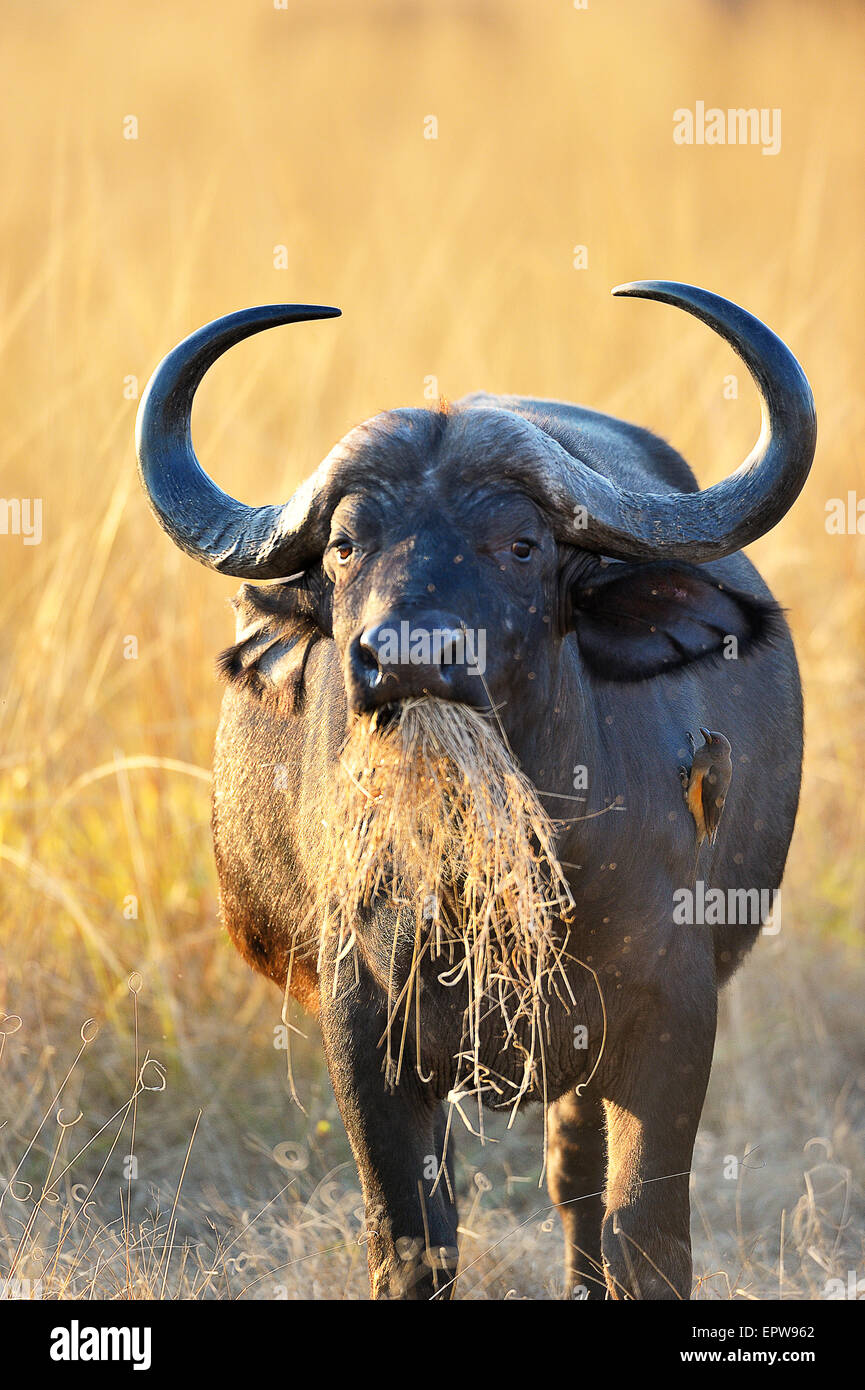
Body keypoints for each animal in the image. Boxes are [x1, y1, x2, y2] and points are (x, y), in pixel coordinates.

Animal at [136, 282, 815, 1299]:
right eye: (345, 545)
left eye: (521, 543)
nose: (407, 658)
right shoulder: (367, 1034)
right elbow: (413, 1238)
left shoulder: (669, 1018)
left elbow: (645, 1233)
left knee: (576, 1183)